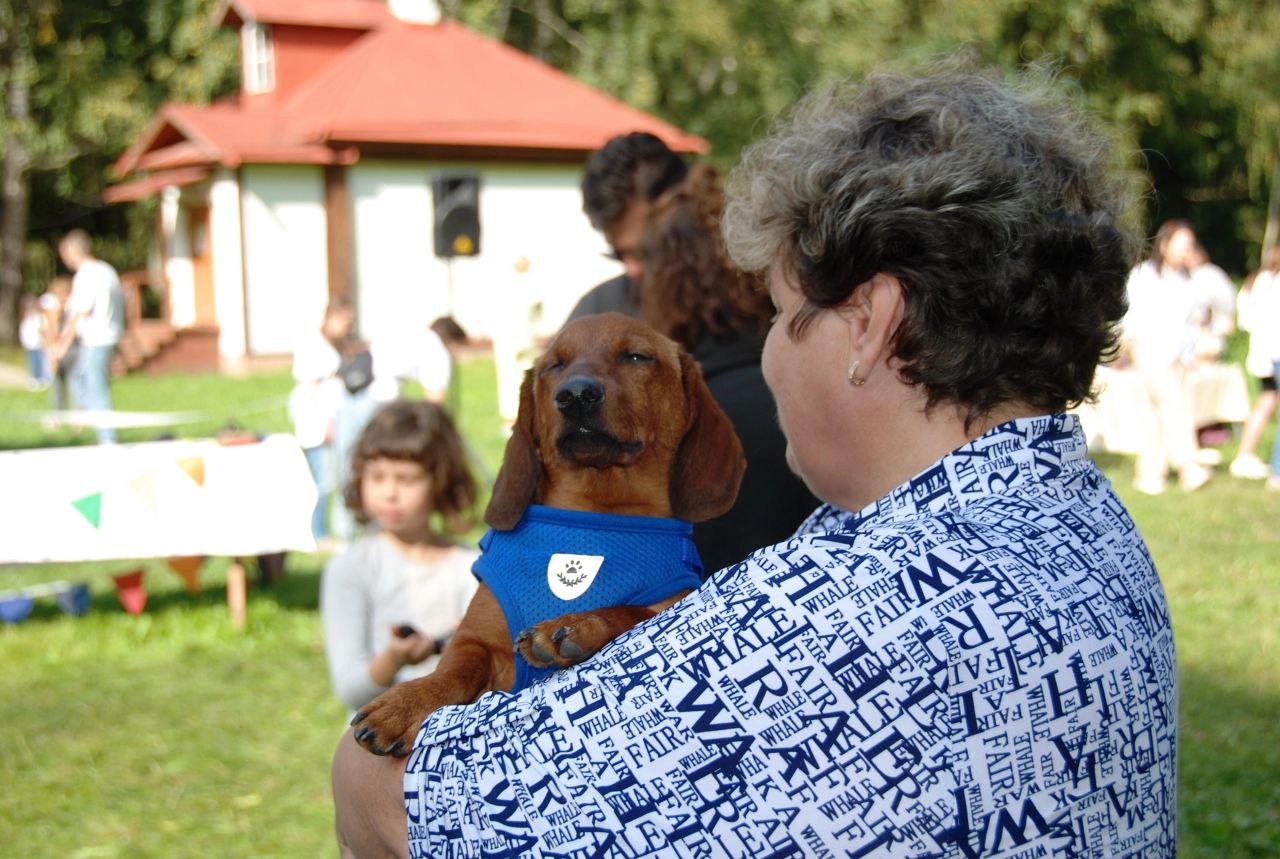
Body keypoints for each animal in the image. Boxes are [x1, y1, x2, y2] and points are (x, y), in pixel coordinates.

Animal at [353, 312, 747, 757]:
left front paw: (578, 625)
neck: (595, 513)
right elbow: (455, 670)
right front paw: (409, 700)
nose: (575, 394)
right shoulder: (475, 639)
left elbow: (633, 611)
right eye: (554, 365)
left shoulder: (671, 601)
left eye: (636, 356)